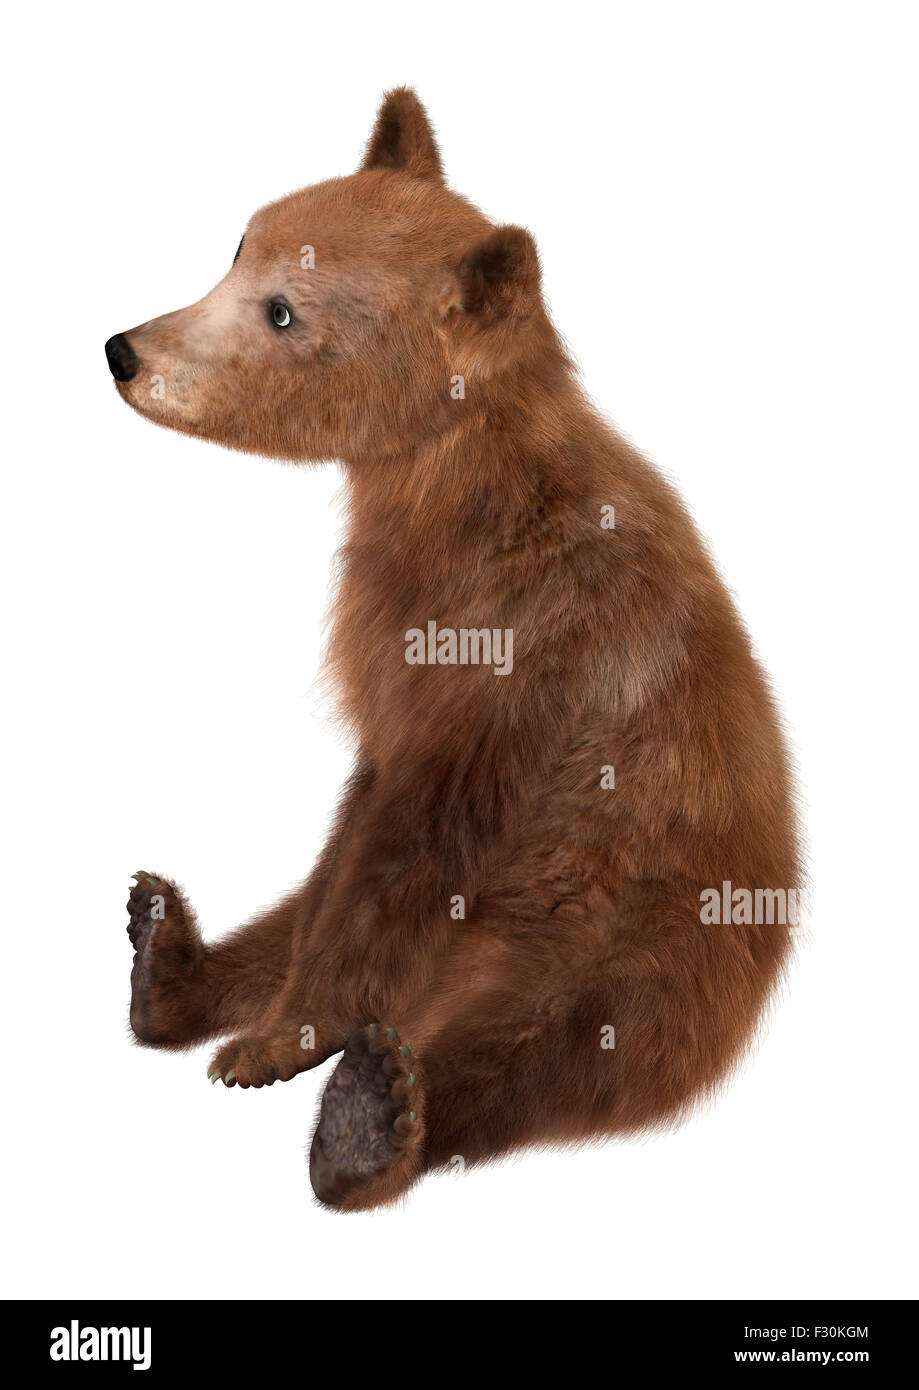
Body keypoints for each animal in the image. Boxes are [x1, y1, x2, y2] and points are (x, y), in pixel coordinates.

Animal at [107, 88, 801, 1211]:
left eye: (283, 310)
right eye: (236, 248)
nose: (127, 350)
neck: (448, 504)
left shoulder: (521, 663)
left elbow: (414, 850)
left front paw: (271, 1046)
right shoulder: (390, 657)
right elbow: (350, 840)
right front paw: (268, 1022)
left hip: (632, 934)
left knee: (553, 1045)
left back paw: (372, 1116)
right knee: (290, 912)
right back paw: (163, 956)